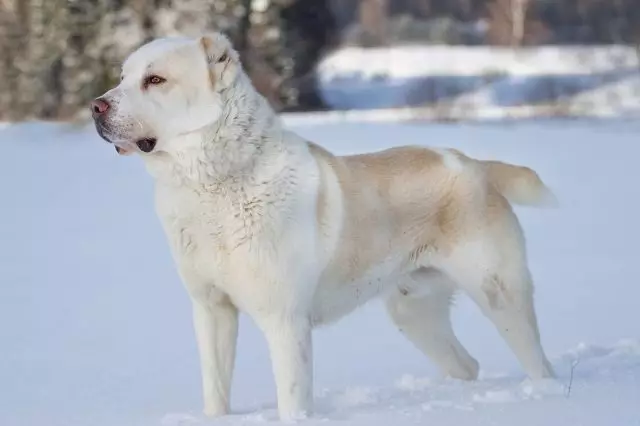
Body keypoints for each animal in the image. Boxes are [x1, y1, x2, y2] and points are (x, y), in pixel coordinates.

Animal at [92, 31, 556, 422]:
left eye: (155, 80)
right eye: (122, 78)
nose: (96, 106)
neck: (215, 183)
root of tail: (474, 164)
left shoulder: (285, 321)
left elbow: (292, 401)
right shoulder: (211, 310)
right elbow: (216, 391)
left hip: (501, 295)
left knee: (539, 364)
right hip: (414, 313)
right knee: (467, 365)